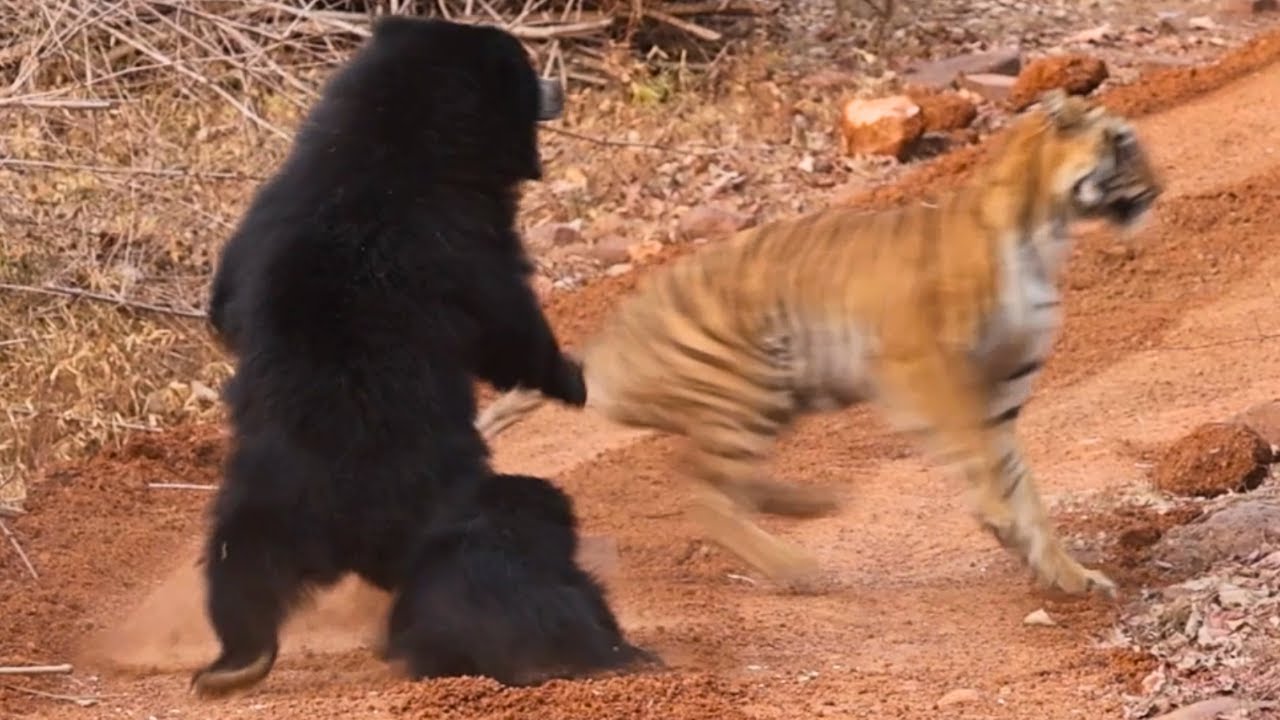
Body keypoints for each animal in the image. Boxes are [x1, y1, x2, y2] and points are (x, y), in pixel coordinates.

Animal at [191, 16, 596, 697]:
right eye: (523, 70)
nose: (560, 88)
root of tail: (340, 532)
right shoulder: (458, 233)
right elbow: (505, 318)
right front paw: (570, 378)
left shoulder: (263, 214)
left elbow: (224, 301)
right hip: (439, 494)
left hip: (262, 504)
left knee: (237, 565)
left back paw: (233, 665)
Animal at [477, 89, 1162, 596]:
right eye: (1124, 141)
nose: (1159, 188)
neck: (1046, 230)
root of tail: (604, 346)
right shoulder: (924, 363)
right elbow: (983, 459)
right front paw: (1002, 522)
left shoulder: (1002, 389)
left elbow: (1025, 486)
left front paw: (1067, 573)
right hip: (744, 387)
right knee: (704, 496)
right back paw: (797, 567)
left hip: (771, 393)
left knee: (722, 483)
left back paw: (817, 504)